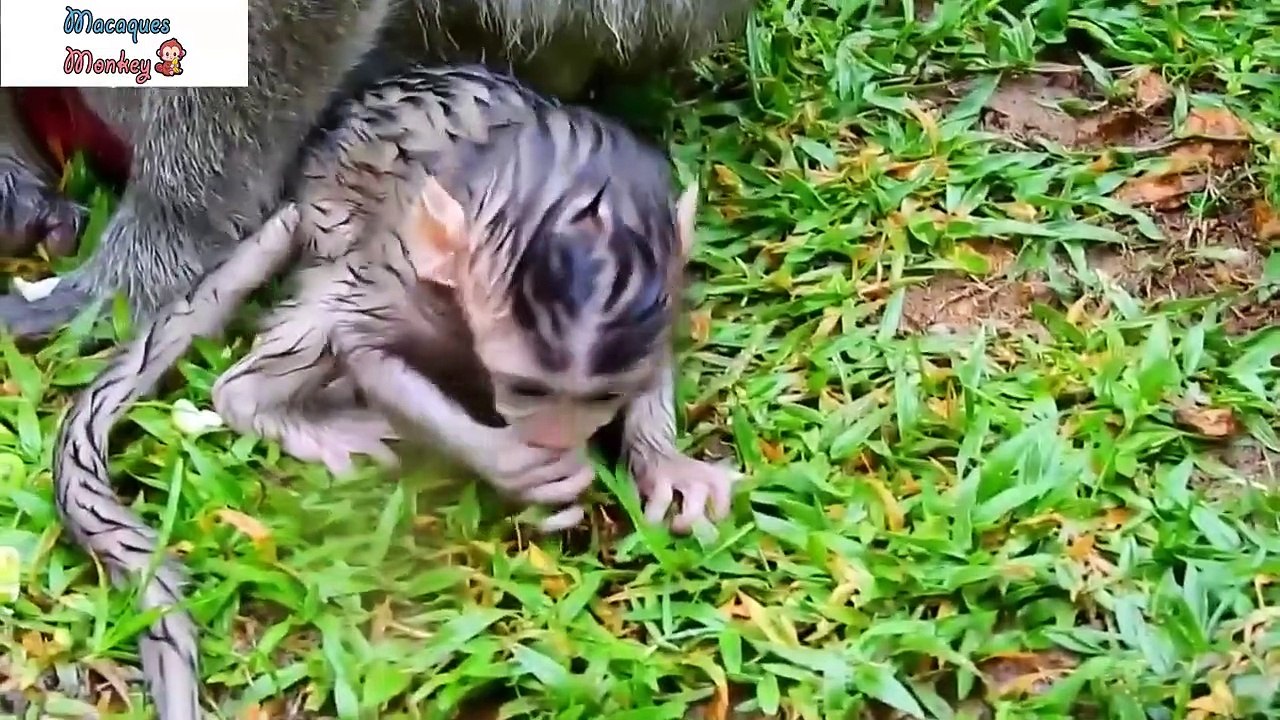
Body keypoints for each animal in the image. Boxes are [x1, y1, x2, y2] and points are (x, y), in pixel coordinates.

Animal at [52, 64, 739, 720]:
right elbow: (363, 345)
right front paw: (510, 462)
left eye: (601, 398)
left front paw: (666, 466)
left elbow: (652, 366)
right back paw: (270, 404)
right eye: (524, 388)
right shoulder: (406, 272)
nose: (552, 440)